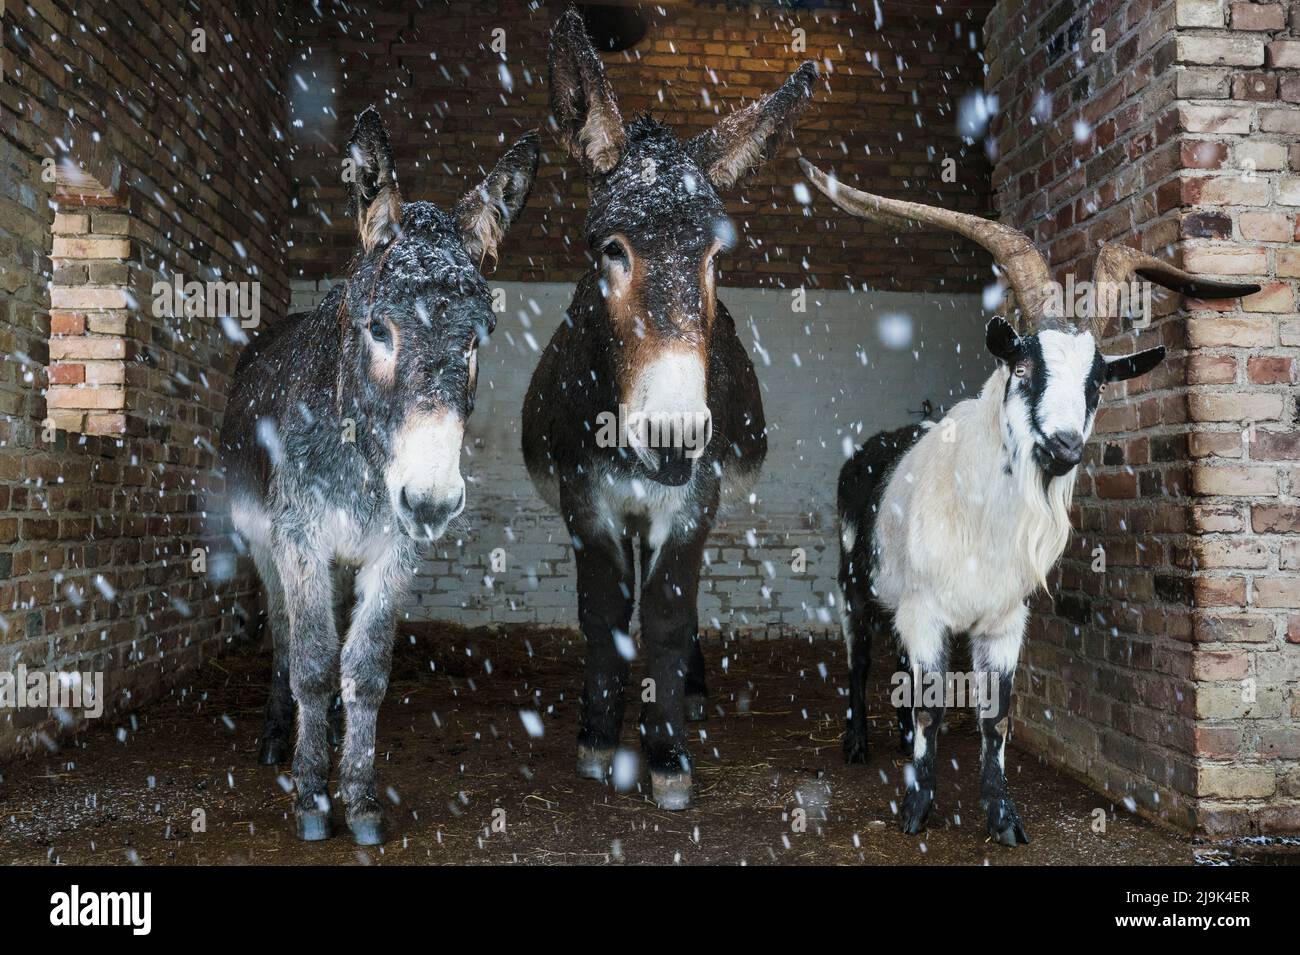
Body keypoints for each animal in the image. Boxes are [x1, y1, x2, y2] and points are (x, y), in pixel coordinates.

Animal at [219, 107, 537, 844]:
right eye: (378, 329)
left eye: (477, 338)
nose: (431, 500)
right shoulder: (298, 540)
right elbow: (311, 662)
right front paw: (312, 795)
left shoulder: (396, 548)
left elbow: (364, 669)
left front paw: (360, 797)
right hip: (264, 545)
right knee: (285, 634)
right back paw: (279, 737)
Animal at [801, 159, 1259, 846]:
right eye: (1022, 369)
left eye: (1097, 383)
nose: (1065, 444)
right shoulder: (924, 610)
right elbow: (930, 705)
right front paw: (915, 812)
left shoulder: (1003, 620)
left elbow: (996, 715)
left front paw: (1004, 819)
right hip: (855, 583)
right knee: (858, 659)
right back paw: (857, 744)